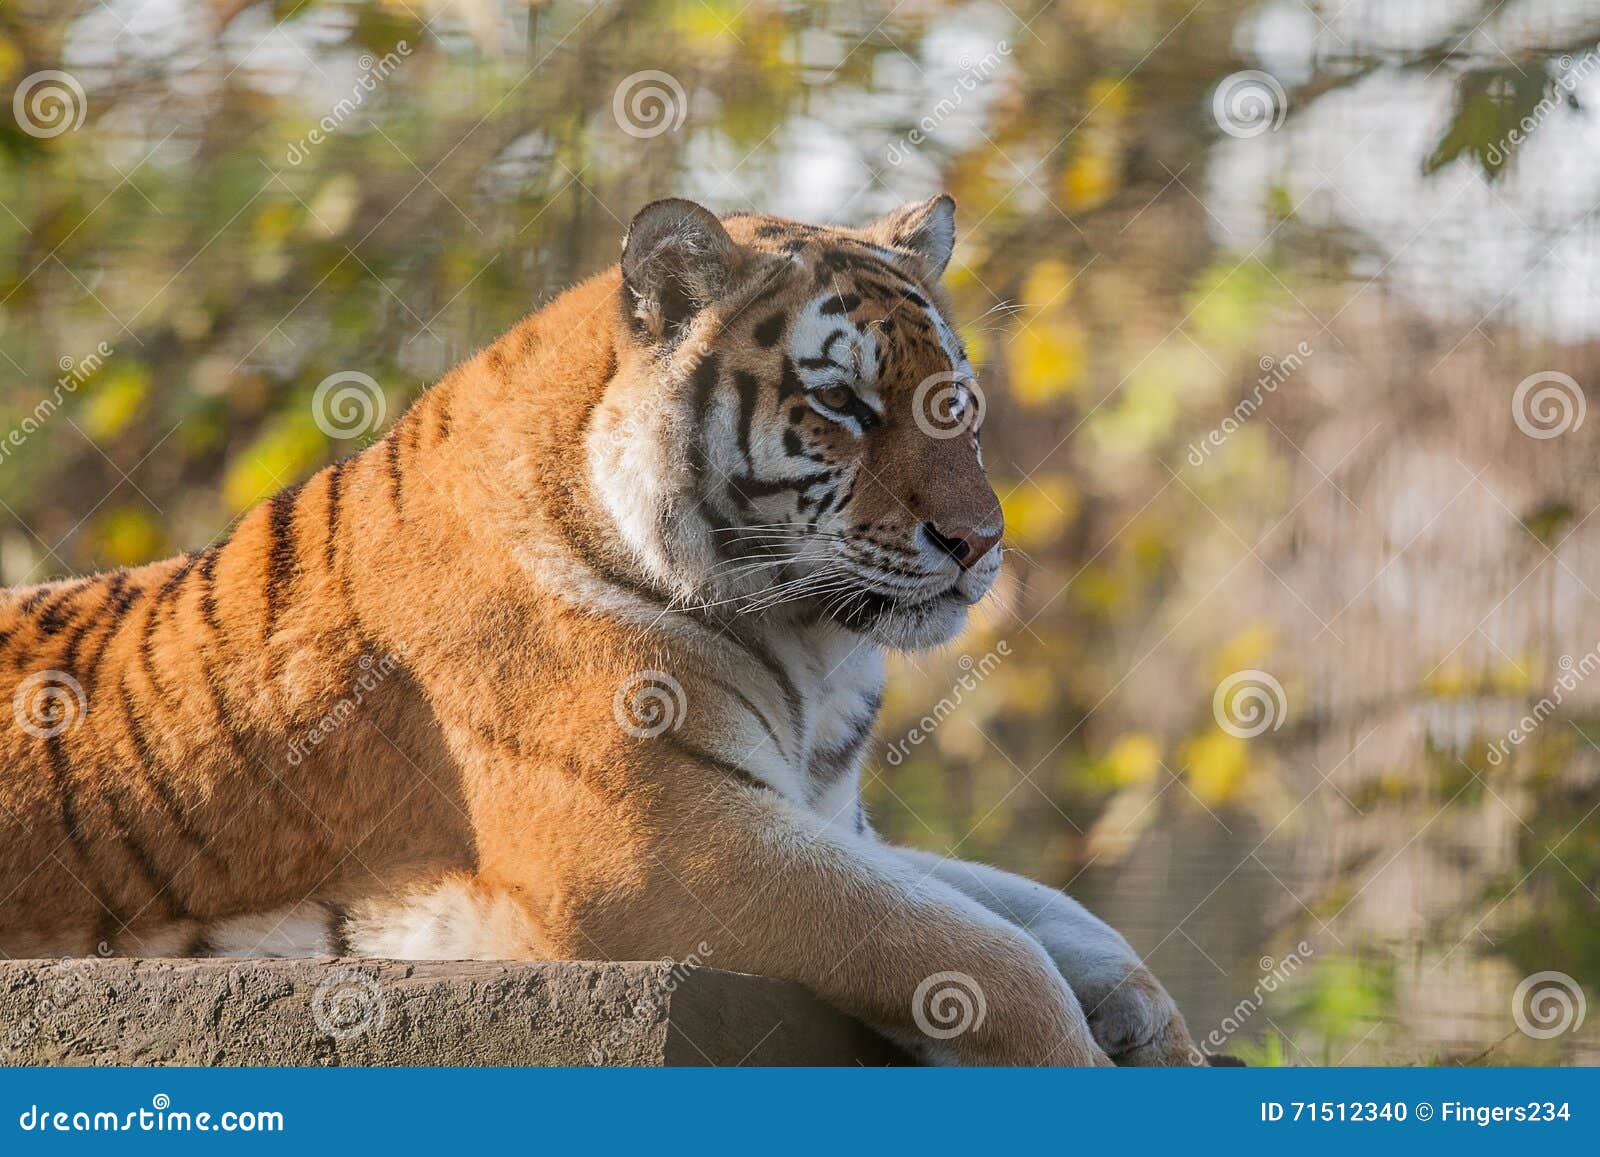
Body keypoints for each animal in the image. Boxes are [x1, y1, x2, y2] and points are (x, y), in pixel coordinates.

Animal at [0, 195, 1198, 1066]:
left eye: (957, 403)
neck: (814, 653)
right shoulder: (663, 844)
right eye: (844, 405)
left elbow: (1051, 913)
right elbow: (981, 952)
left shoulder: (822, 817)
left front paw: (1161, 1033)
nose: (977, 540)